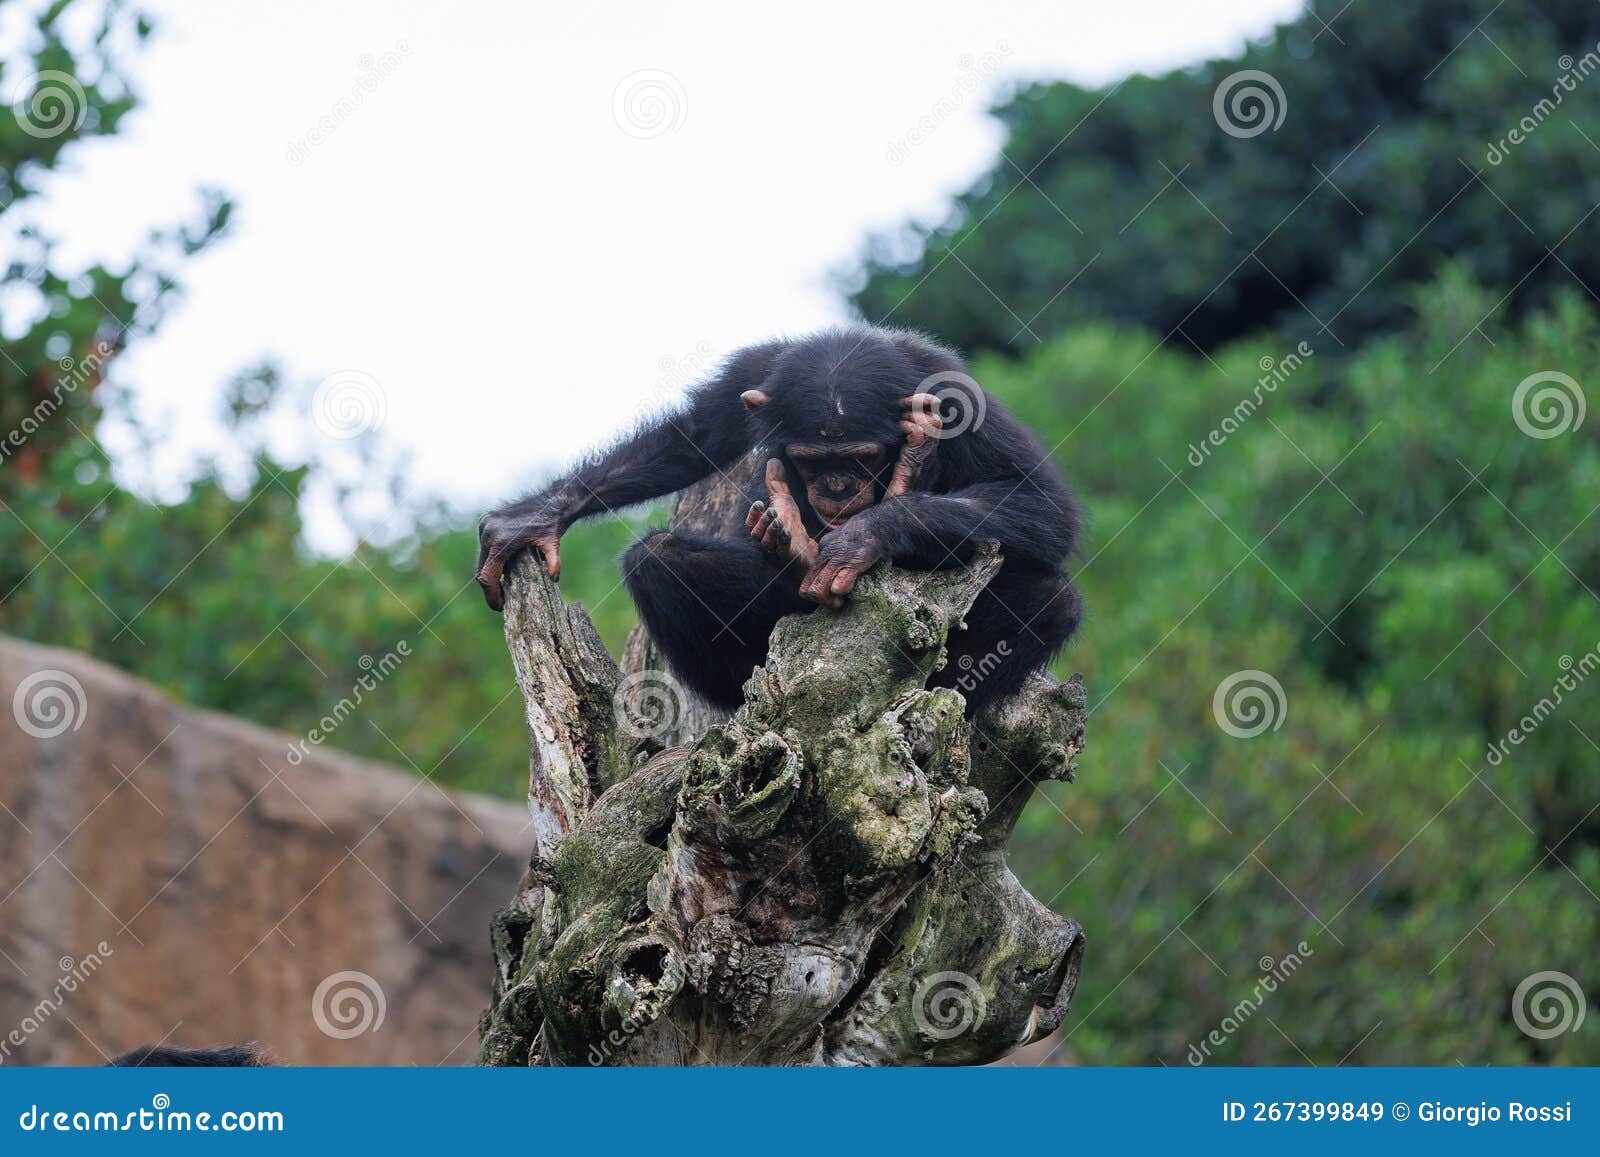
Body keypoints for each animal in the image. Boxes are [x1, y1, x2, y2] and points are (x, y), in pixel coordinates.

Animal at [476, 326, 1082, 712]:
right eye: (814, 459)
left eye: (861, 457)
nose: (836, 486)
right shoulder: (753, 372)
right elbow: (692, 437)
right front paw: (535, 518)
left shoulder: (955, 391)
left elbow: (1042, 501)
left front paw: (865, 536)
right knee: (659, 560)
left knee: (1052, 596)